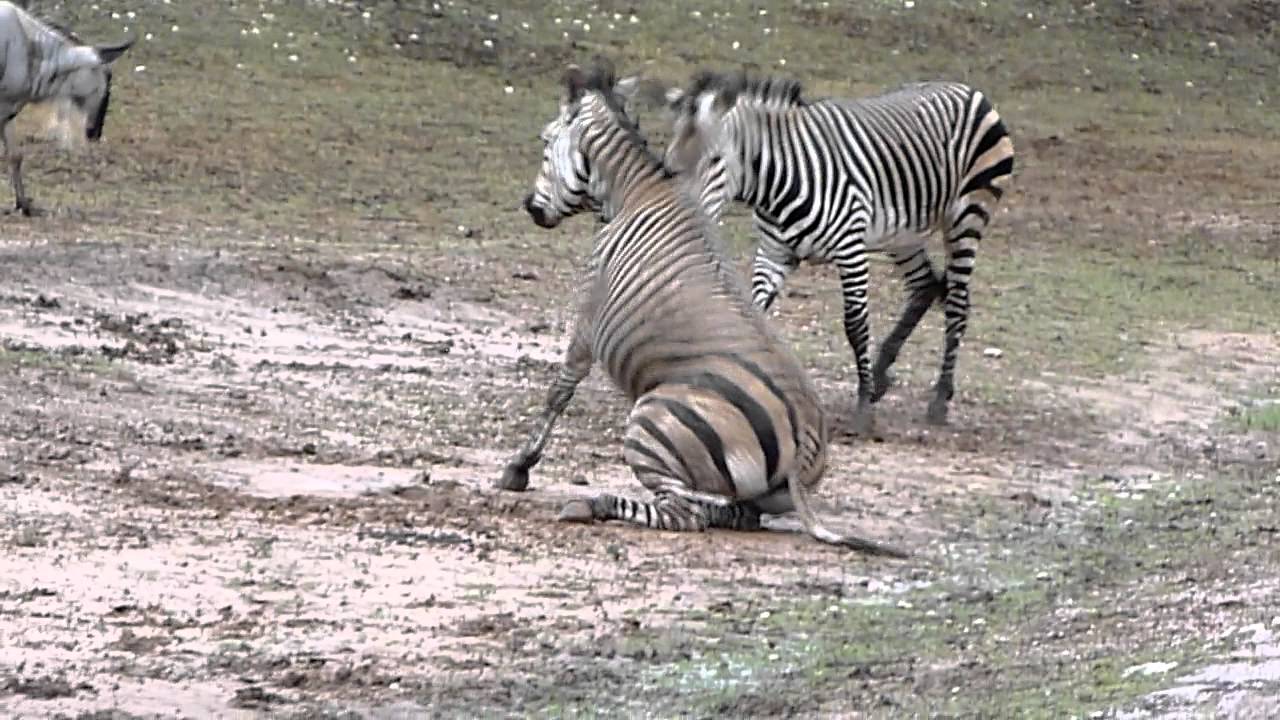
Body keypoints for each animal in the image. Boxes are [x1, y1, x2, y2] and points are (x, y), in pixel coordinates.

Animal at [497, 58, 906, 559]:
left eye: (545, 141)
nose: (531, 208)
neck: (634, 193)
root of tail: (803, 443)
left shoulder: (588, 320)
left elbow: (559, 391)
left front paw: (520, 466)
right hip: (740, 485)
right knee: (732, 514)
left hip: (651, 422)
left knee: (684, 513)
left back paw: (592, 504)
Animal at [651, 70, 1015, 432]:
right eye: (669, 163)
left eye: (716, 161)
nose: (685, 215)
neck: (775, 185)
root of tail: (967, 89)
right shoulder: (774, 252)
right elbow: (754, 314)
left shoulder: (850, 249)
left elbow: (856, 326)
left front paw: (864, 407)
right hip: (903, 234)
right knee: (926, 285)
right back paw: (882, 375)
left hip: (967, 216)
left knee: (957, 302)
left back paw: (939, 398)